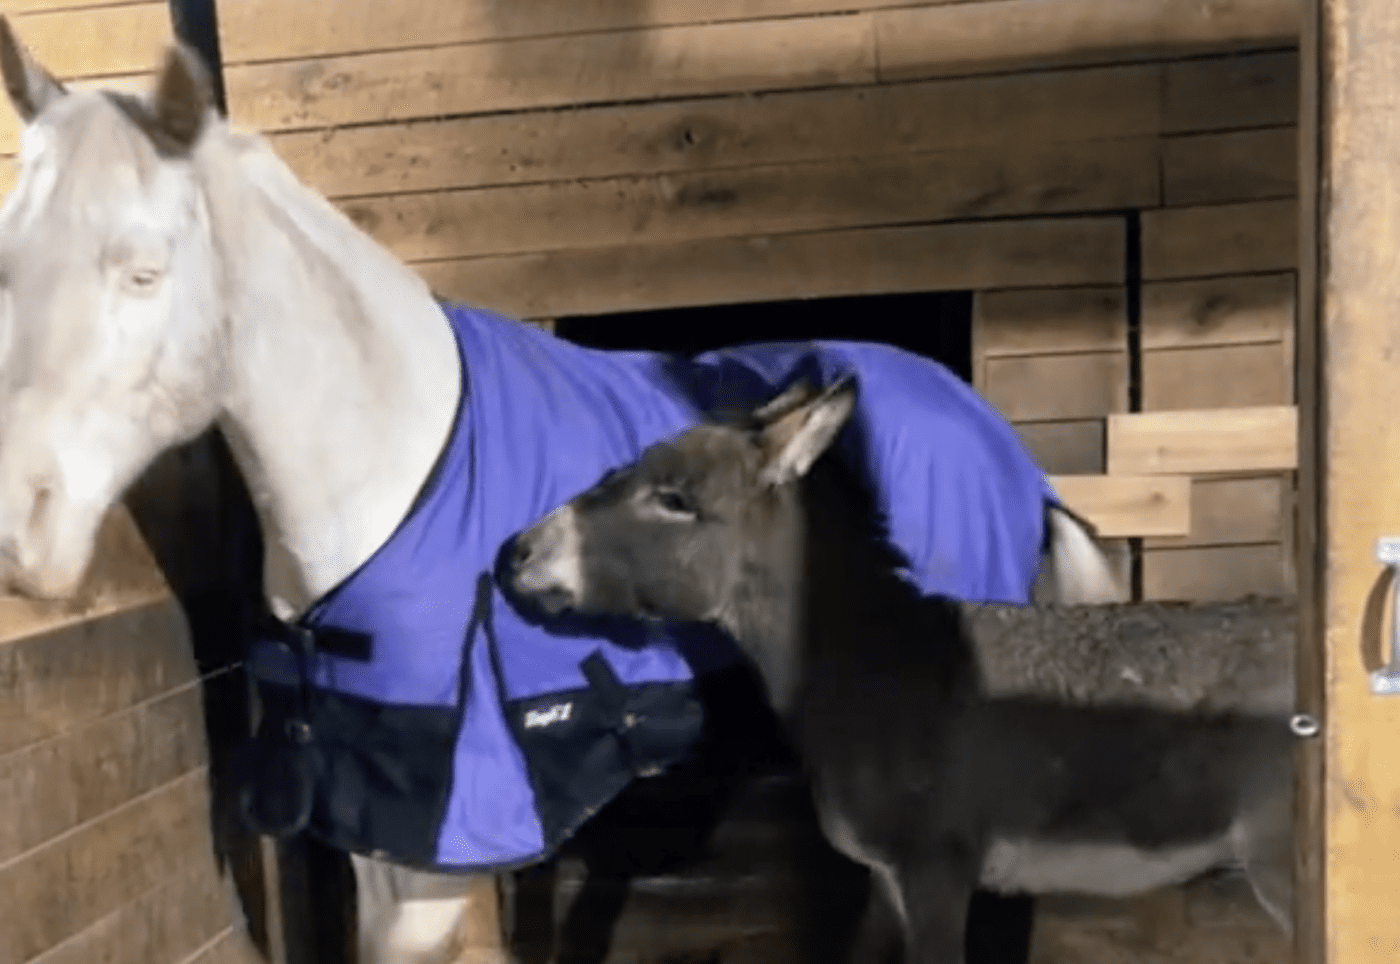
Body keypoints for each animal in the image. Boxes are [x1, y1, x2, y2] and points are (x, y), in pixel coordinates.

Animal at [0, 22, 1125, 964]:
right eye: (7, 266)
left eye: (144, 272)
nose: (20, 536)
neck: (391, 472)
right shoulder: (382, 818)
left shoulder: (448, 827)